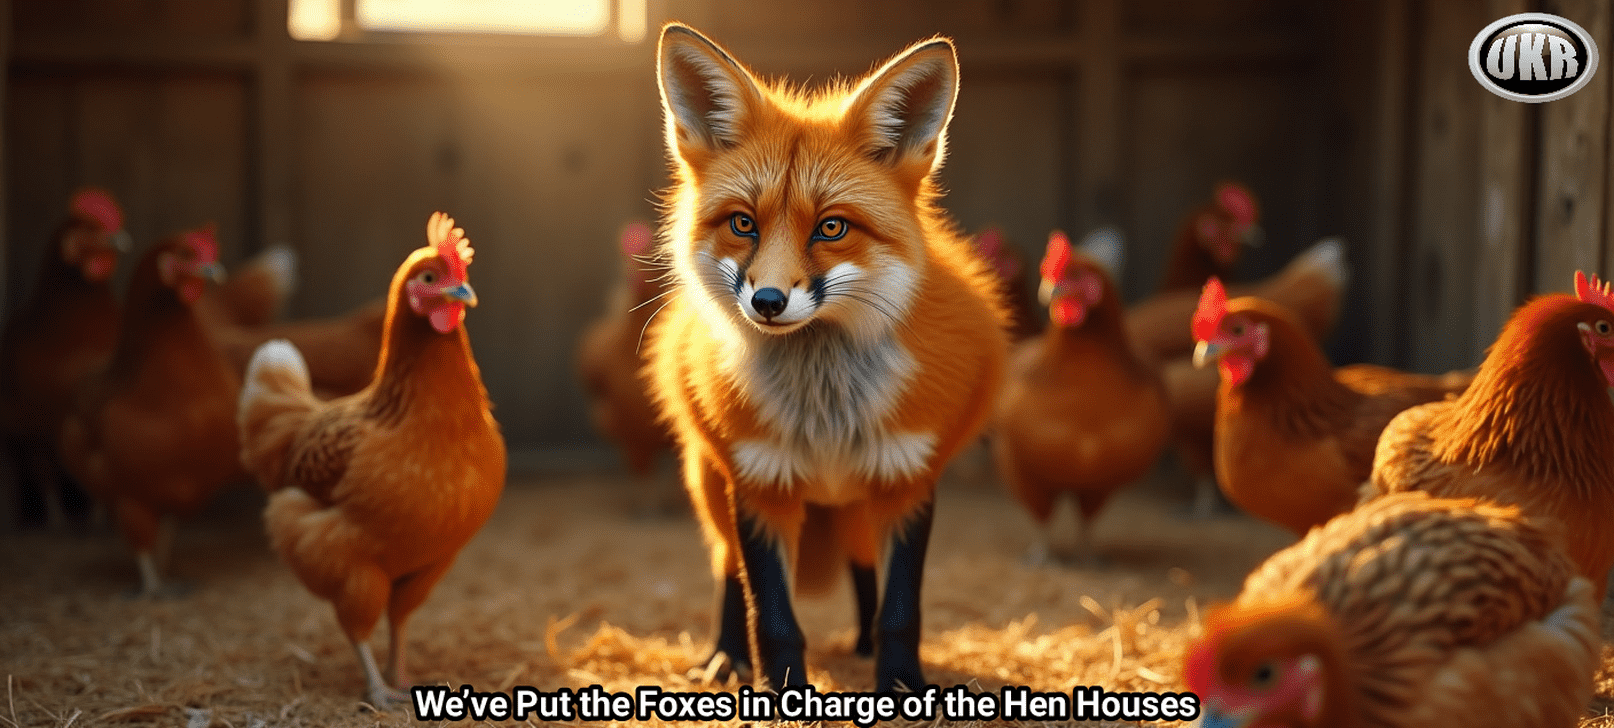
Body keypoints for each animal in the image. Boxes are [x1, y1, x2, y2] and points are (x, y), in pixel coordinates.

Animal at [643, 23, 1010, 692]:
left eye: (832, 228)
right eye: (743, 224)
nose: (766, 301)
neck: (827, 416)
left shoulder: (906, 477)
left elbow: (901, 609)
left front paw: (901, 687)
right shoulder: (759, 484)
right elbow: (771, 615)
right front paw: (783, 689)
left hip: (858, 513)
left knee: (864, 575)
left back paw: (861, 647)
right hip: (711, 487)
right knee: (728, 571)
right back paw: (726, 656)